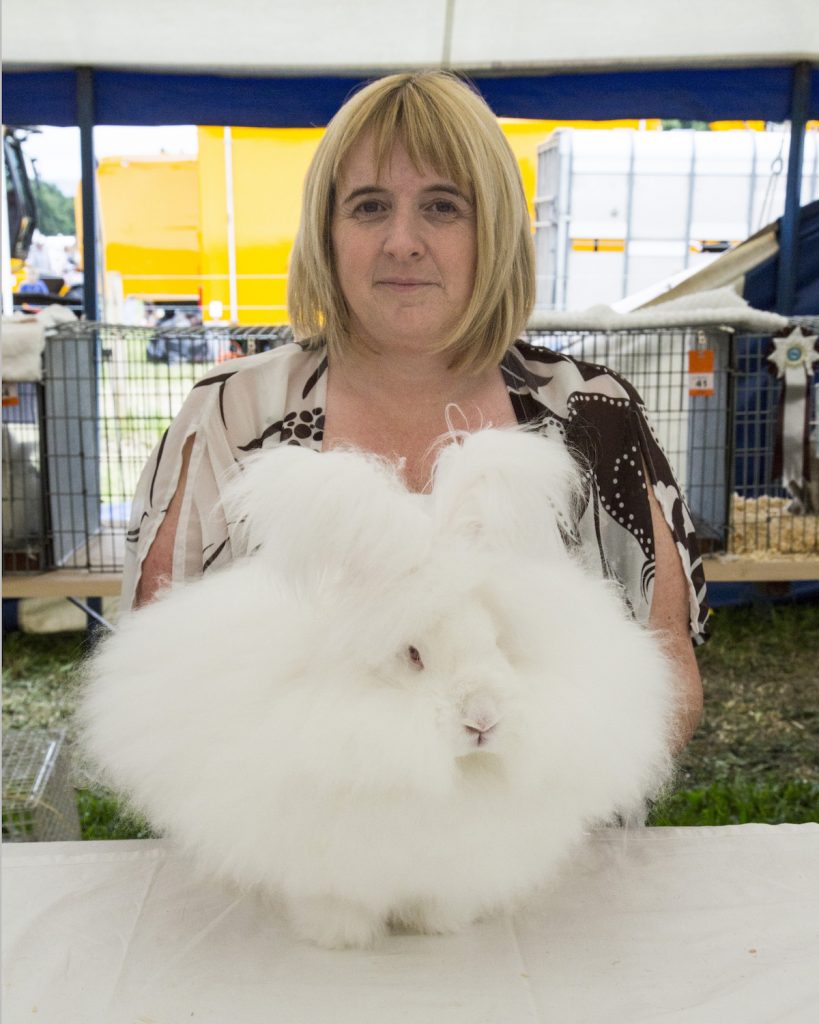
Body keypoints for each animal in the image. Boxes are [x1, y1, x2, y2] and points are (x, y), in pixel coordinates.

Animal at [78, 428, 676, 950]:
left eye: (499, 642)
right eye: (413, 655)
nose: (483, 721)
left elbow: (439, 898)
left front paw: (440, 926)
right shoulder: (321, 858)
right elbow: (334, 899)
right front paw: (341, 938)